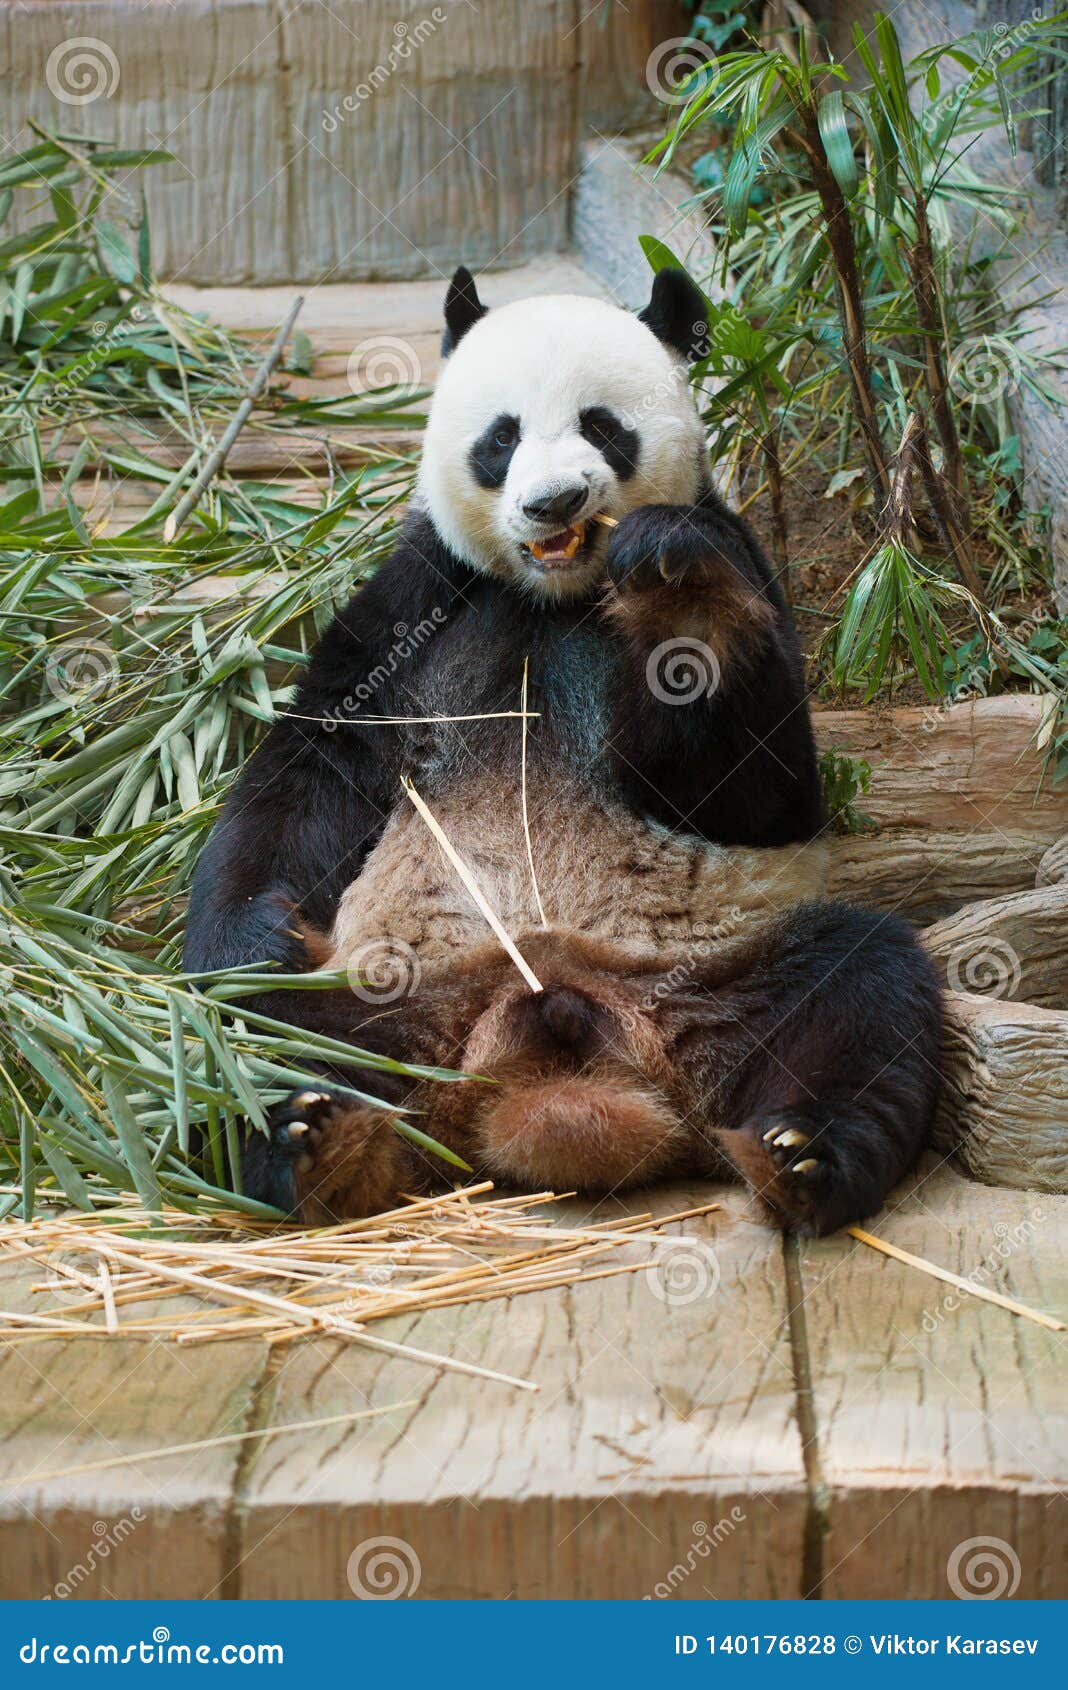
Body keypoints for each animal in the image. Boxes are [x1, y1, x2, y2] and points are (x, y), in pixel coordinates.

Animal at [183, 265, 941, 1236]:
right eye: (501, 437)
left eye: (602, 426)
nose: (554, 503)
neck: (556, 594)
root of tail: (540, 1069)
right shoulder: (419, 600)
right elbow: (314, 765)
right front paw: (255, 930)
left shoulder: (746, 563)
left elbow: (764, 796)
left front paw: (679, 591)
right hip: (389, 990)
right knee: (255, 1032)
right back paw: (311, 1142)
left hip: (716, 979)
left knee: (861, 983)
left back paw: (804, 1155)